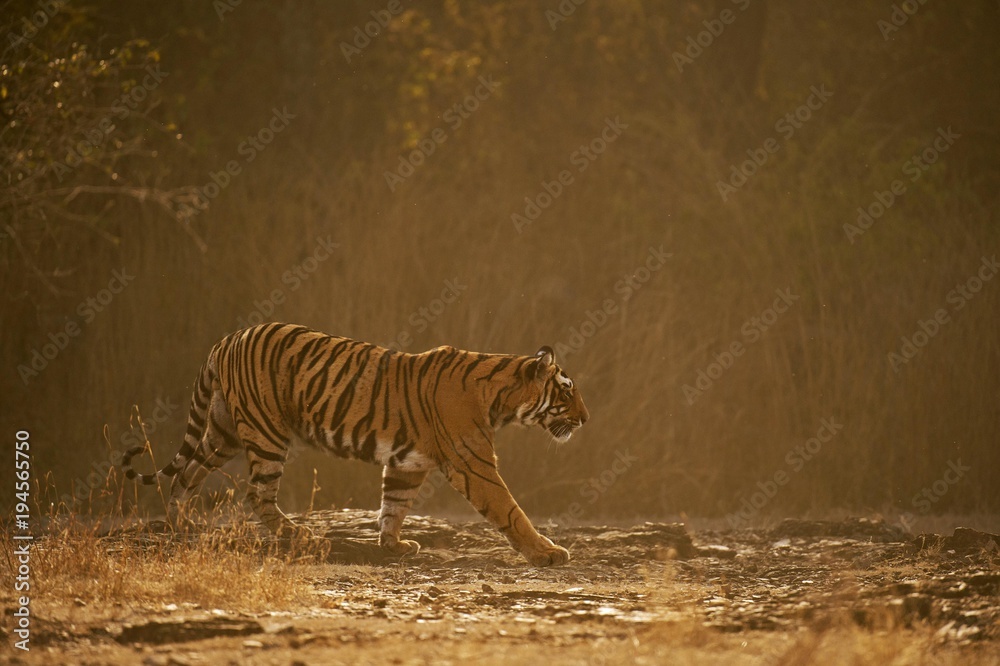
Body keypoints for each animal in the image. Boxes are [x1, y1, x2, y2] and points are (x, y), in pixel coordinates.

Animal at [122, 322, 589, 567]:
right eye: (567, 391)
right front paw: (548, 552)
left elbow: (393, 506)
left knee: (186, 474)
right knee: (256, 494)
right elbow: (511, 511)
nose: (586, 419)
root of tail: (227, 338)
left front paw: (394, 546)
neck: (501, 398)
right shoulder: (472, 463)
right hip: (266, 430)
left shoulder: (407, 464)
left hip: (224, 432)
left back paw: (183, 525)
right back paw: (301, 537)